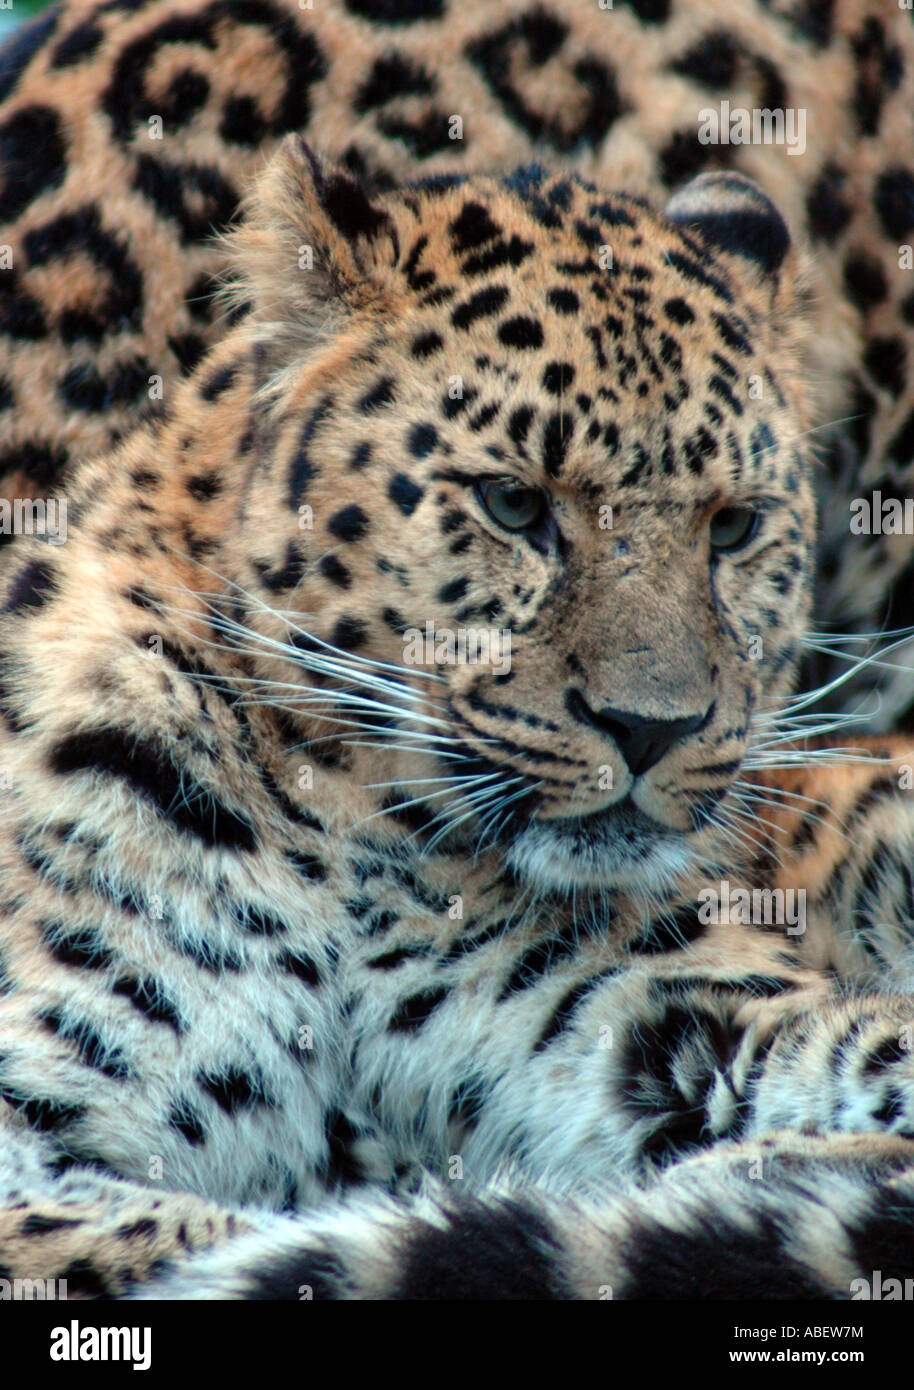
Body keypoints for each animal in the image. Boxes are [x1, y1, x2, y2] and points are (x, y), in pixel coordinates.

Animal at [1, 0, 914, 1301]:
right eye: (514, 503)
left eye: (731, 526)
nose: (650, 730)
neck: (344, 839)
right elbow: (184, 1232)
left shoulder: (642, 1021)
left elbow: (849, 1054)